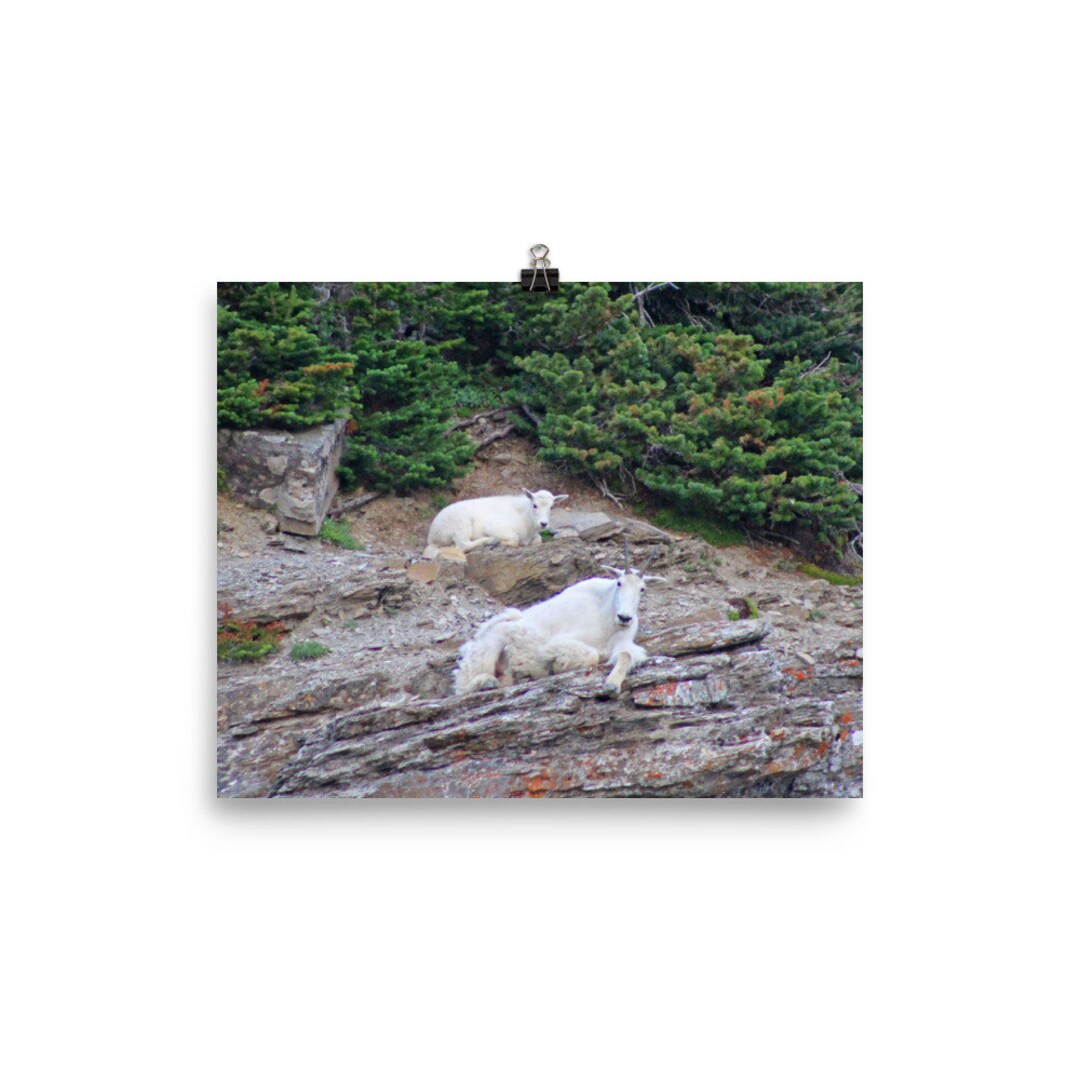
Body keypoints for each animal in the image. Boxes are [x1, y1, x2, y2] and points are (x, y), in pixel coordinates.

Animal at [423, 488, 568, 559]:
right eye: (535, 505)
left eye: (552, 507)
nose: (543, 523)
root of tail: (432, 537)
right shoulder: (494, 526)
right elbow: (515, 539)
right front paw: (501, 542)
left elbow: (538, 540)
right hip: (461, 524)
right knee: (463, 545)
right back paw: (490, 541)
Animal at [453, 538, 665, 697]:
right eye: (619, 583)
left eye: (642, 589)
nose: (625, 617)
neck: (607, 617)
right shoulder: (561, 641)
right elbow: (592, 655)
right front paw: (556, 666)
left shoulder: (622, 643)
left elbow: (626, 655)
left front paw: (611, 685)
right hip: (491, 643)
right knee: (462, 684)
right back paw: (487, 682)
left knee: (504, 679)